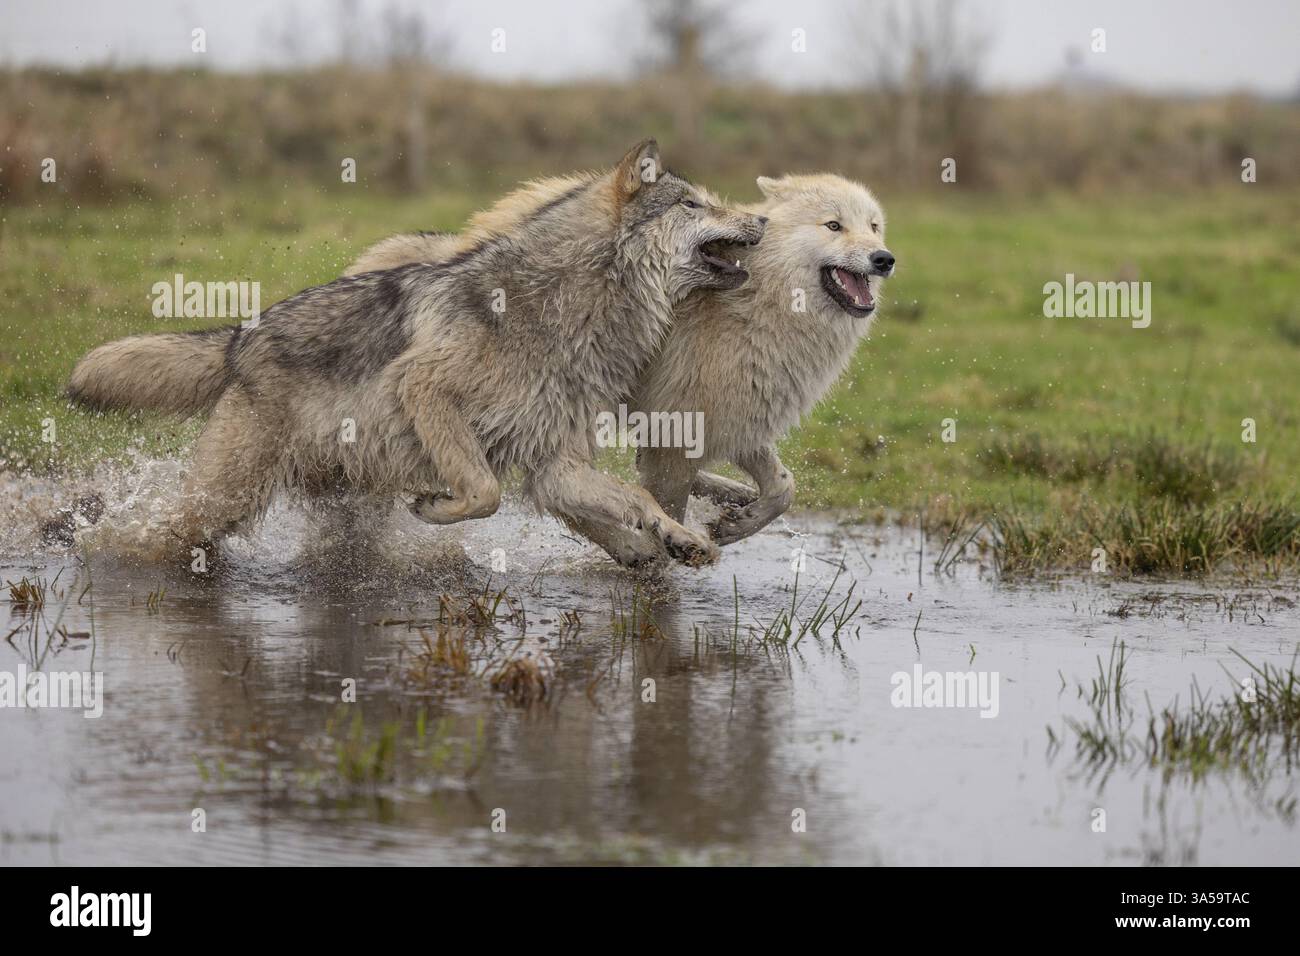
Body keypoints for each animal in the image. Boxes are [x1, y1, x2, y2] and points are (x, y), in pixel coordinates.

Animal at [67, 140, 768, 567]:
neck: (561, 307)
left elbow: (640, 502)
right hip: (225, 500)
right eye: (694, 203)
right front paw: (435, 508)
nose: (762, 221)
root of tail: (244, 335)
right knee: (151, 535)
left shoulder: (556, 467)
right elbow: (483, 491)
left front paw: (681, 538)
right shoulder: (425, 388)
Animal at [347, 173, 893, 546]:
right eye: (834, 226)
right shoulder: (682, 426)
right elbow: (664, 503)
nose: (884, 258)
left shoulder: (736, 417)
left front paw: (738, 523)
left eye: (873, 226)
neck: (759, 300)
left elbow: (783, 487)